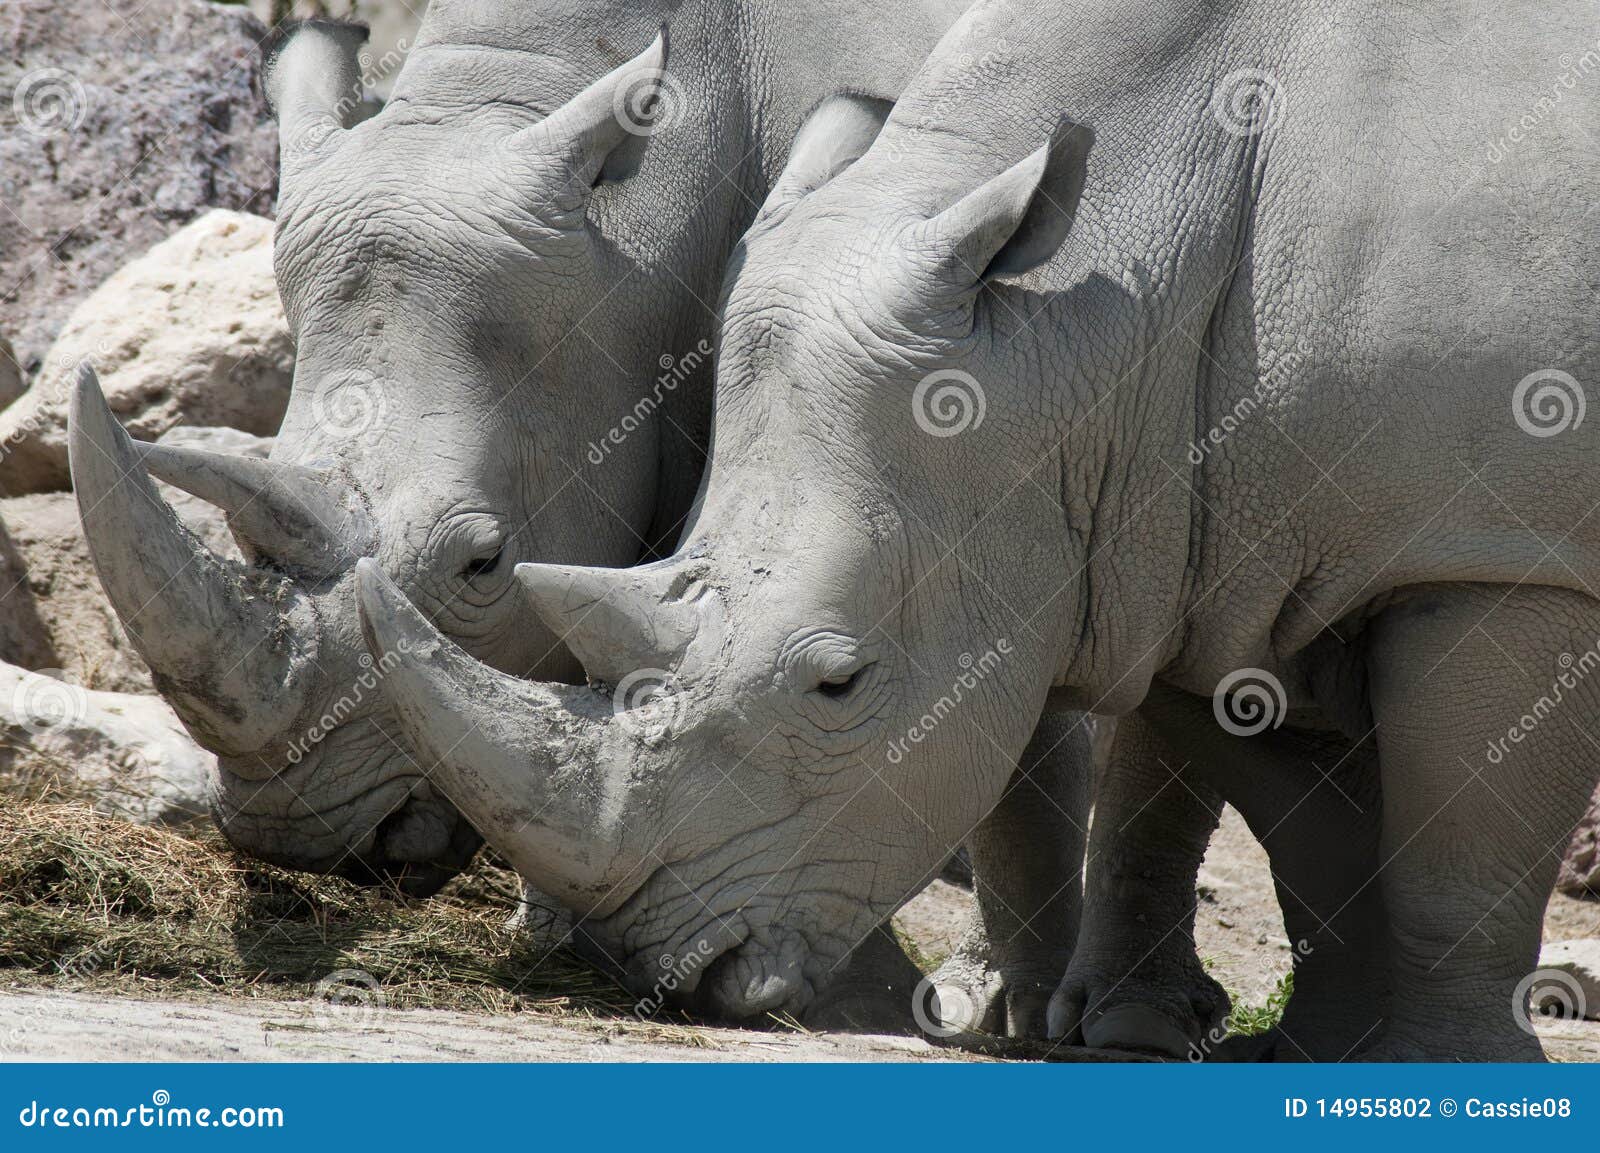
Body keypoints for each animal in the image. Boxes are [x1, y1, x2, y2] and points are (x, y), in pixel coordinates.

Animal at [355, 0, 1600, 1059]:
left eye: (839, 682)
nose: (652, 972)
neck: (1089, 310)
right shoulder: (1225, 544)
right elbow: (1314, 837)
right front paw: (1323, 1050)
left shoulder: (1500, 558)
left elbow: (1455, 856)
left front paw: (1441, 1067)